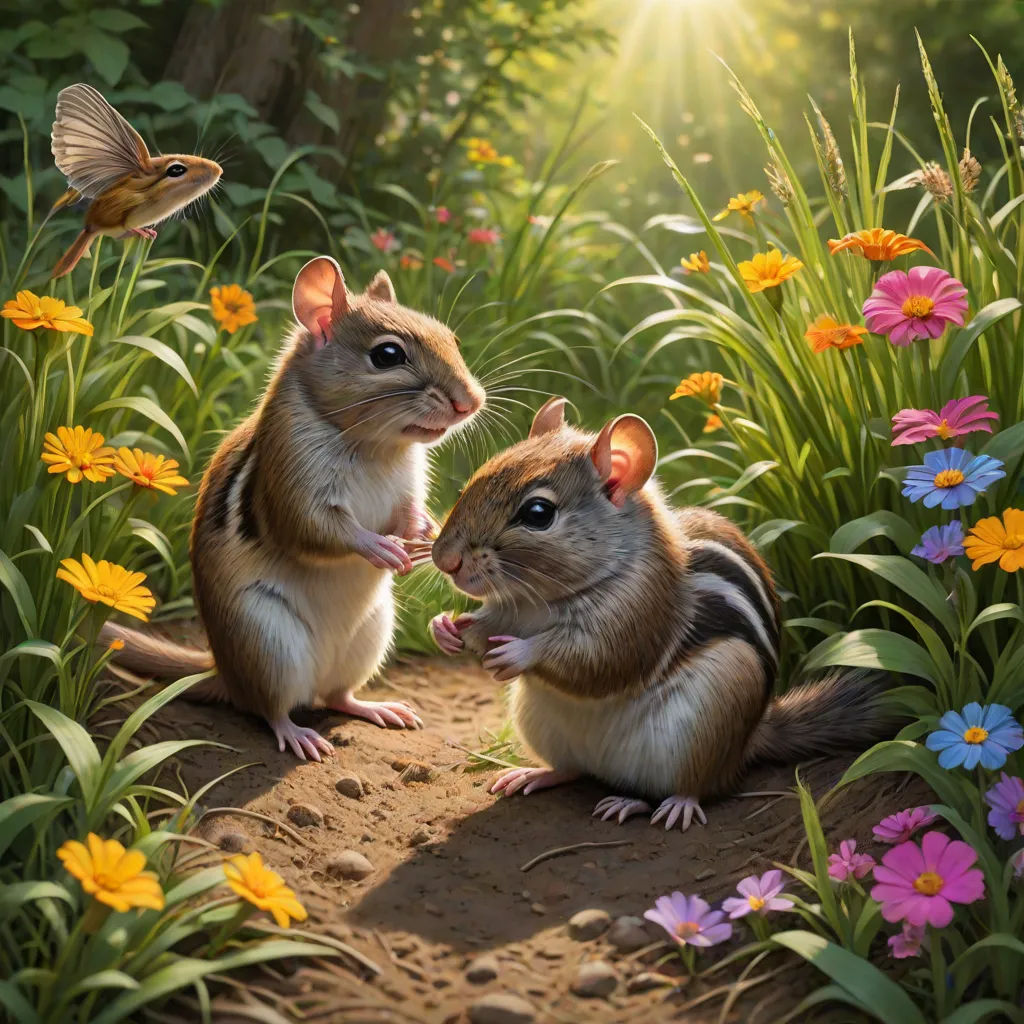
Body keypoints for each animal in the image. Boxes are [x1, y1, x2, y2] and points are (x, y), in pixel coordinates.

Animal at [102, 256, 484, 760]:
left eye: (451, 339)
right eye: (387, 355)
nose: (471, 402)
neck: (375, 446)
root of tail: (225, 673)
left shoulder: (408, 485)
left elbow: (409, 511)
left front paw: (423, 532)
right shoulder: (290, 483)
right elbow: (317, 529)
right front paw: (380, 548)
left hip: (371, 636)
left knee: (337, 696)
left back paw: (377, 708)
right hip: (269, 646)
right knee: (271, 708)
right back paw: (298, 734)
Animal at [429, 397, 889, 830]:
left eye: (537, 513)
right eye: (471, 484)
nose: (444, 560)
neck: (542, 600)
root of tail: (748, 741)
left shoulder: (641, 614)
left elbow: (598, 660)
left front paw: (518, 653)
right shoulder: (510, 612)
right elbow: (489, 623)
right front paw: (446, 628)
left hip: (703, 727)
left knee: (696, 786)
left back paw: (659, 804)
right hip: (538, 722)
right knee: (573, 769)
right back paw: (537, 775)